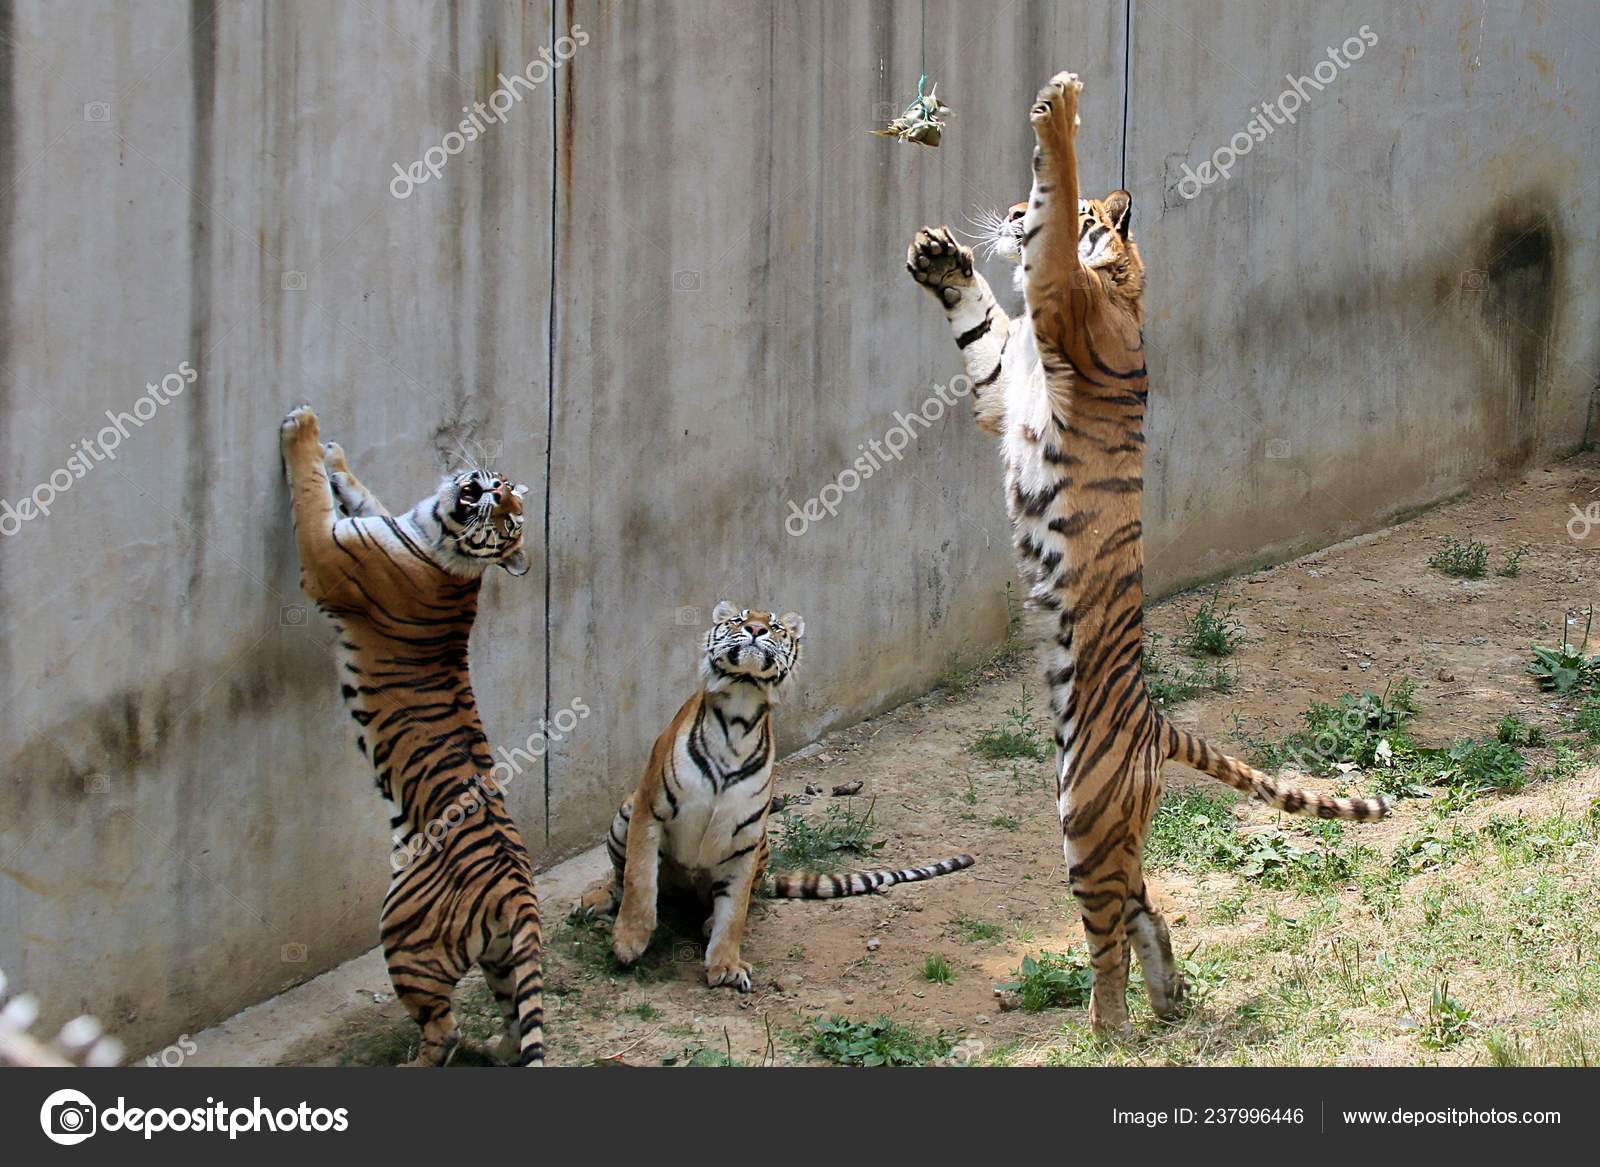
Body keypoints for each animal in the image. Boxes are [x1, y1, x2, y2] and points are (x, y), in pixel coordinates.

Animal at [280, 403, 545, 1066]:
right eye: (503, 493)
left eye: (506, 519)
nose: (487, 491)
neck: (436, 536)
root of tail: (520, 892)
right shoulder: (381, 519)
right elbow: (358, 490)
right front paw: (336, 455)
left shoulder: (326, 556)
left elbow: (309, 495)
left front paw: (304, 430)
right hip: (500, 956)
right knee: (513, 1013)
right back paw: (496, 1048)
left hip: (401, 932)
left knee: (440, 1029)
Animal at [577, 602, 975, 992]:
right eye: (738, 619)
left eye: (776, 626)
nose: (755, 630)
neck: (739, 710)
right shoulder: (651, 810)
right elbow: (639, 880)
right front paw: (628, 943)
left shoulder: (746, 838)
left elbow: (735, 910)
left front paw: (725, 964)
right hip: (626, 812)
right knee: (621, 878)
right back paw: (594, 902)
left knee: (743, 898)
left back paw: (708, 923)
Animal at [906, 72, 1389, 1039]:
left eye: (1030, 200)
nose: (1003, 210)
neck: (1124, 279)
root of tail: (1160, 722)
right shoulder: (1000, 381)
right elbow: (981, 326)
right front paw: (940, 256)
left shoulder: (1056, 293)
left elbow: (1055, 212)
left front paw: (1057, 115)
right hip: (1104, 827)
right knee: (1145, 910)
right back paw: (1166, 1000)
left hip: (1083, 817)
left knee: (1109, 938)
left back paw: (1107, 1028)